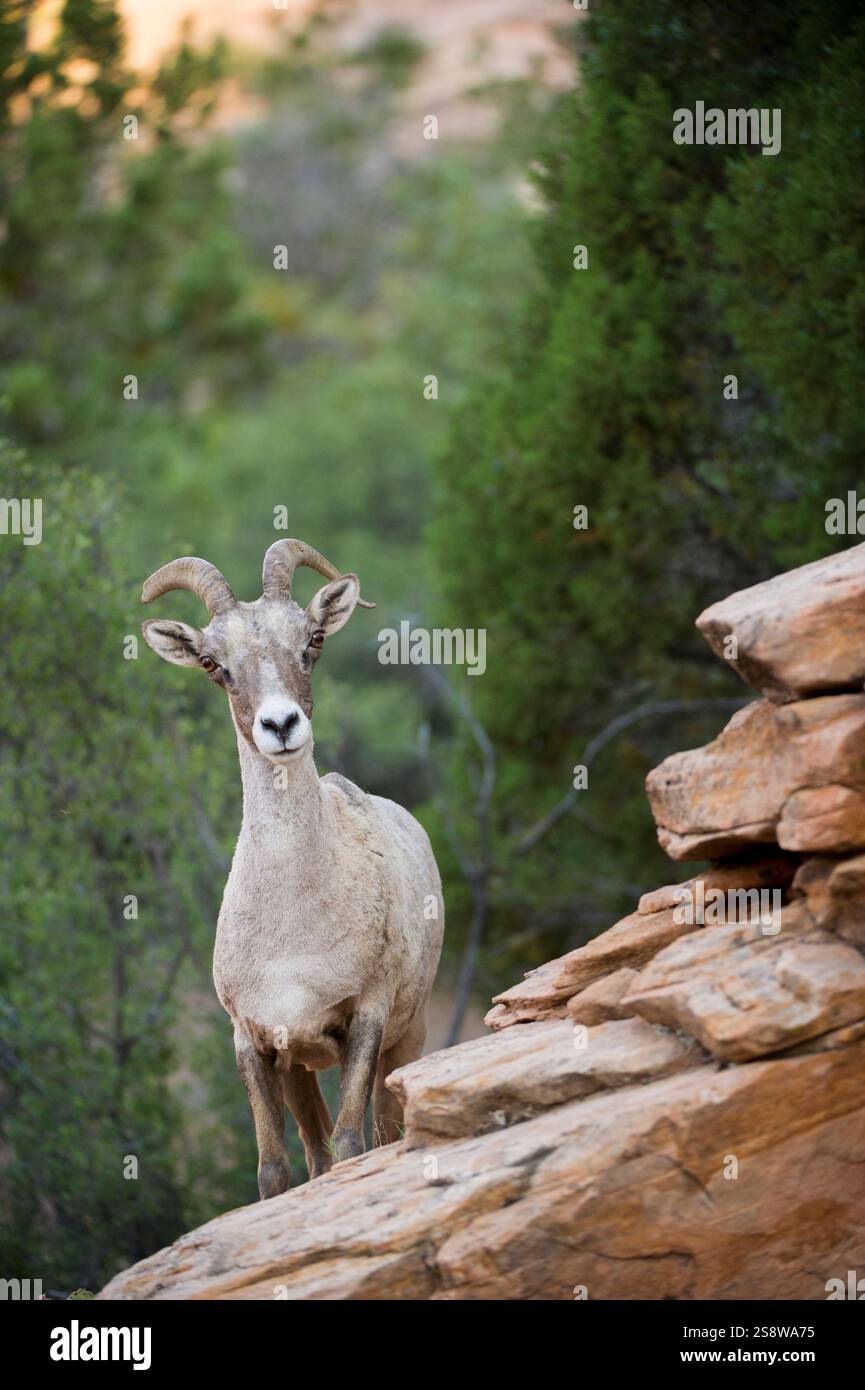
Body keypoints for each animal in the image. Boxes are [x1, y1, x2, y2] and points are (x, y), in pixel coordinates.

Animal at [141, 540, 444, 1198]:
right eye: (212, 663)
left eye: (313, 640)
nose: (280, 726)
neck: (293, 933)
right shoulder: (258, 1044)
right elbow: (276, 1172)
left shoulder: (366, 1023)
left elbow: (354, 1145)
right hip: (302, 1069)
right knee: (315, 1151)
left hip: (406, 1039)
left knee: (383, 1132)